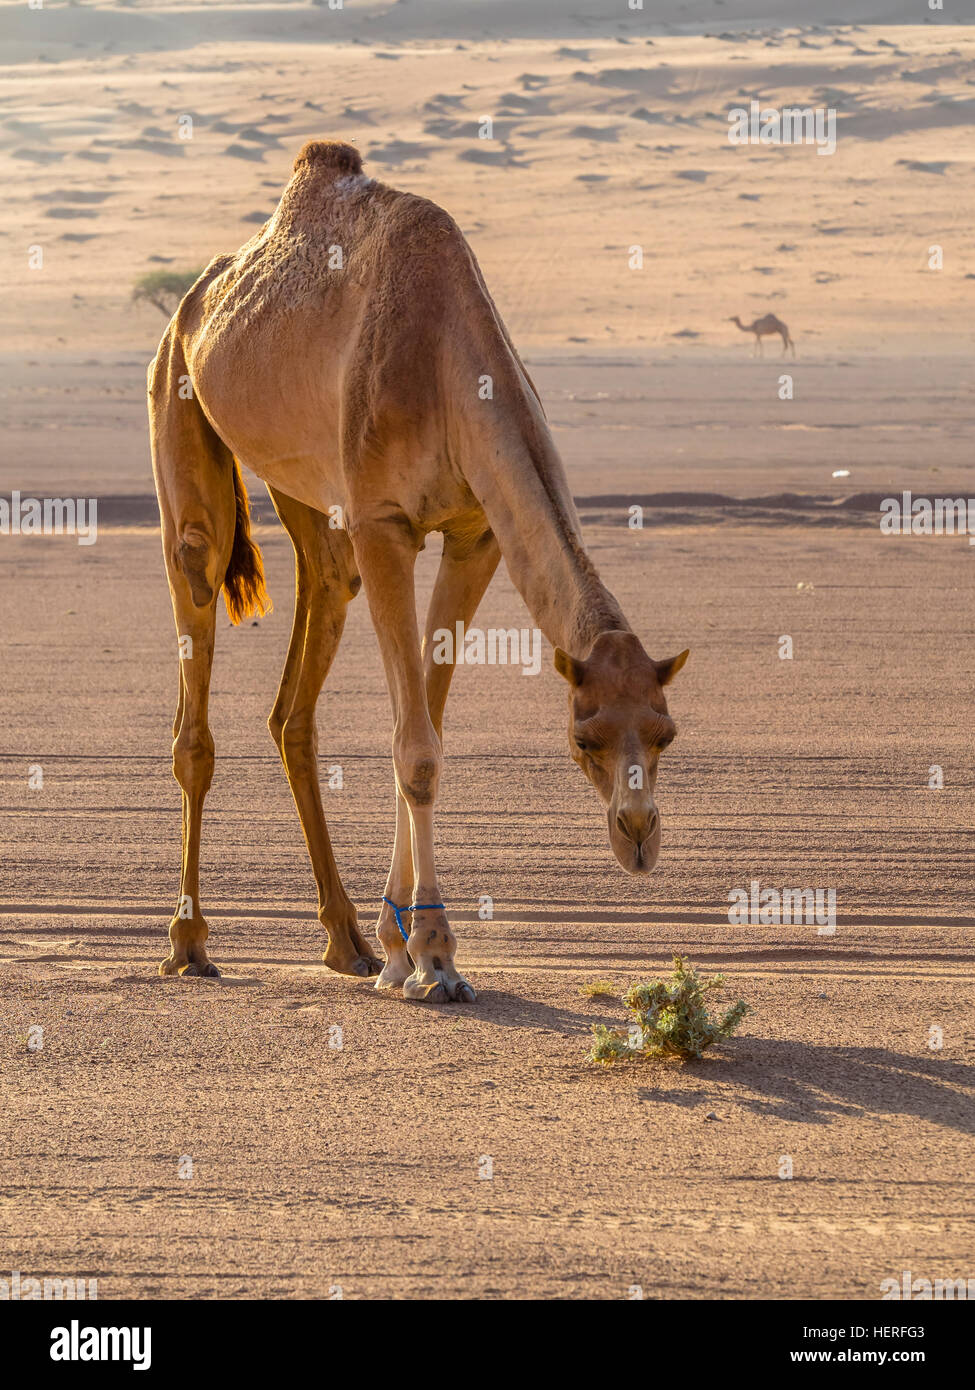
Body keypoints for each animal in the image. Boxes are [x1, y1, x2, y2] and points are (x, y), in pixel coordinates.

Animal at [148, 140, 689, 1002]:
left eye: (666, 733)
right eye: (584, 738)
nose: (637, 835)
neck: (448, 359)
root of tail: (195, 303)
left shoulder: (476, 533)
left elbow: (426, 723)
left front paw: (397, 945)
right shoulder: (385, 524)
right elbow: (417, 748)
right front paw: (433, 958)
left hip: (308, 497)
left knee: (301, 674)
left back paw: (342, 940)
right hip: (180, 407)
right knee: (194, 650)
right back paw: (190, 941)